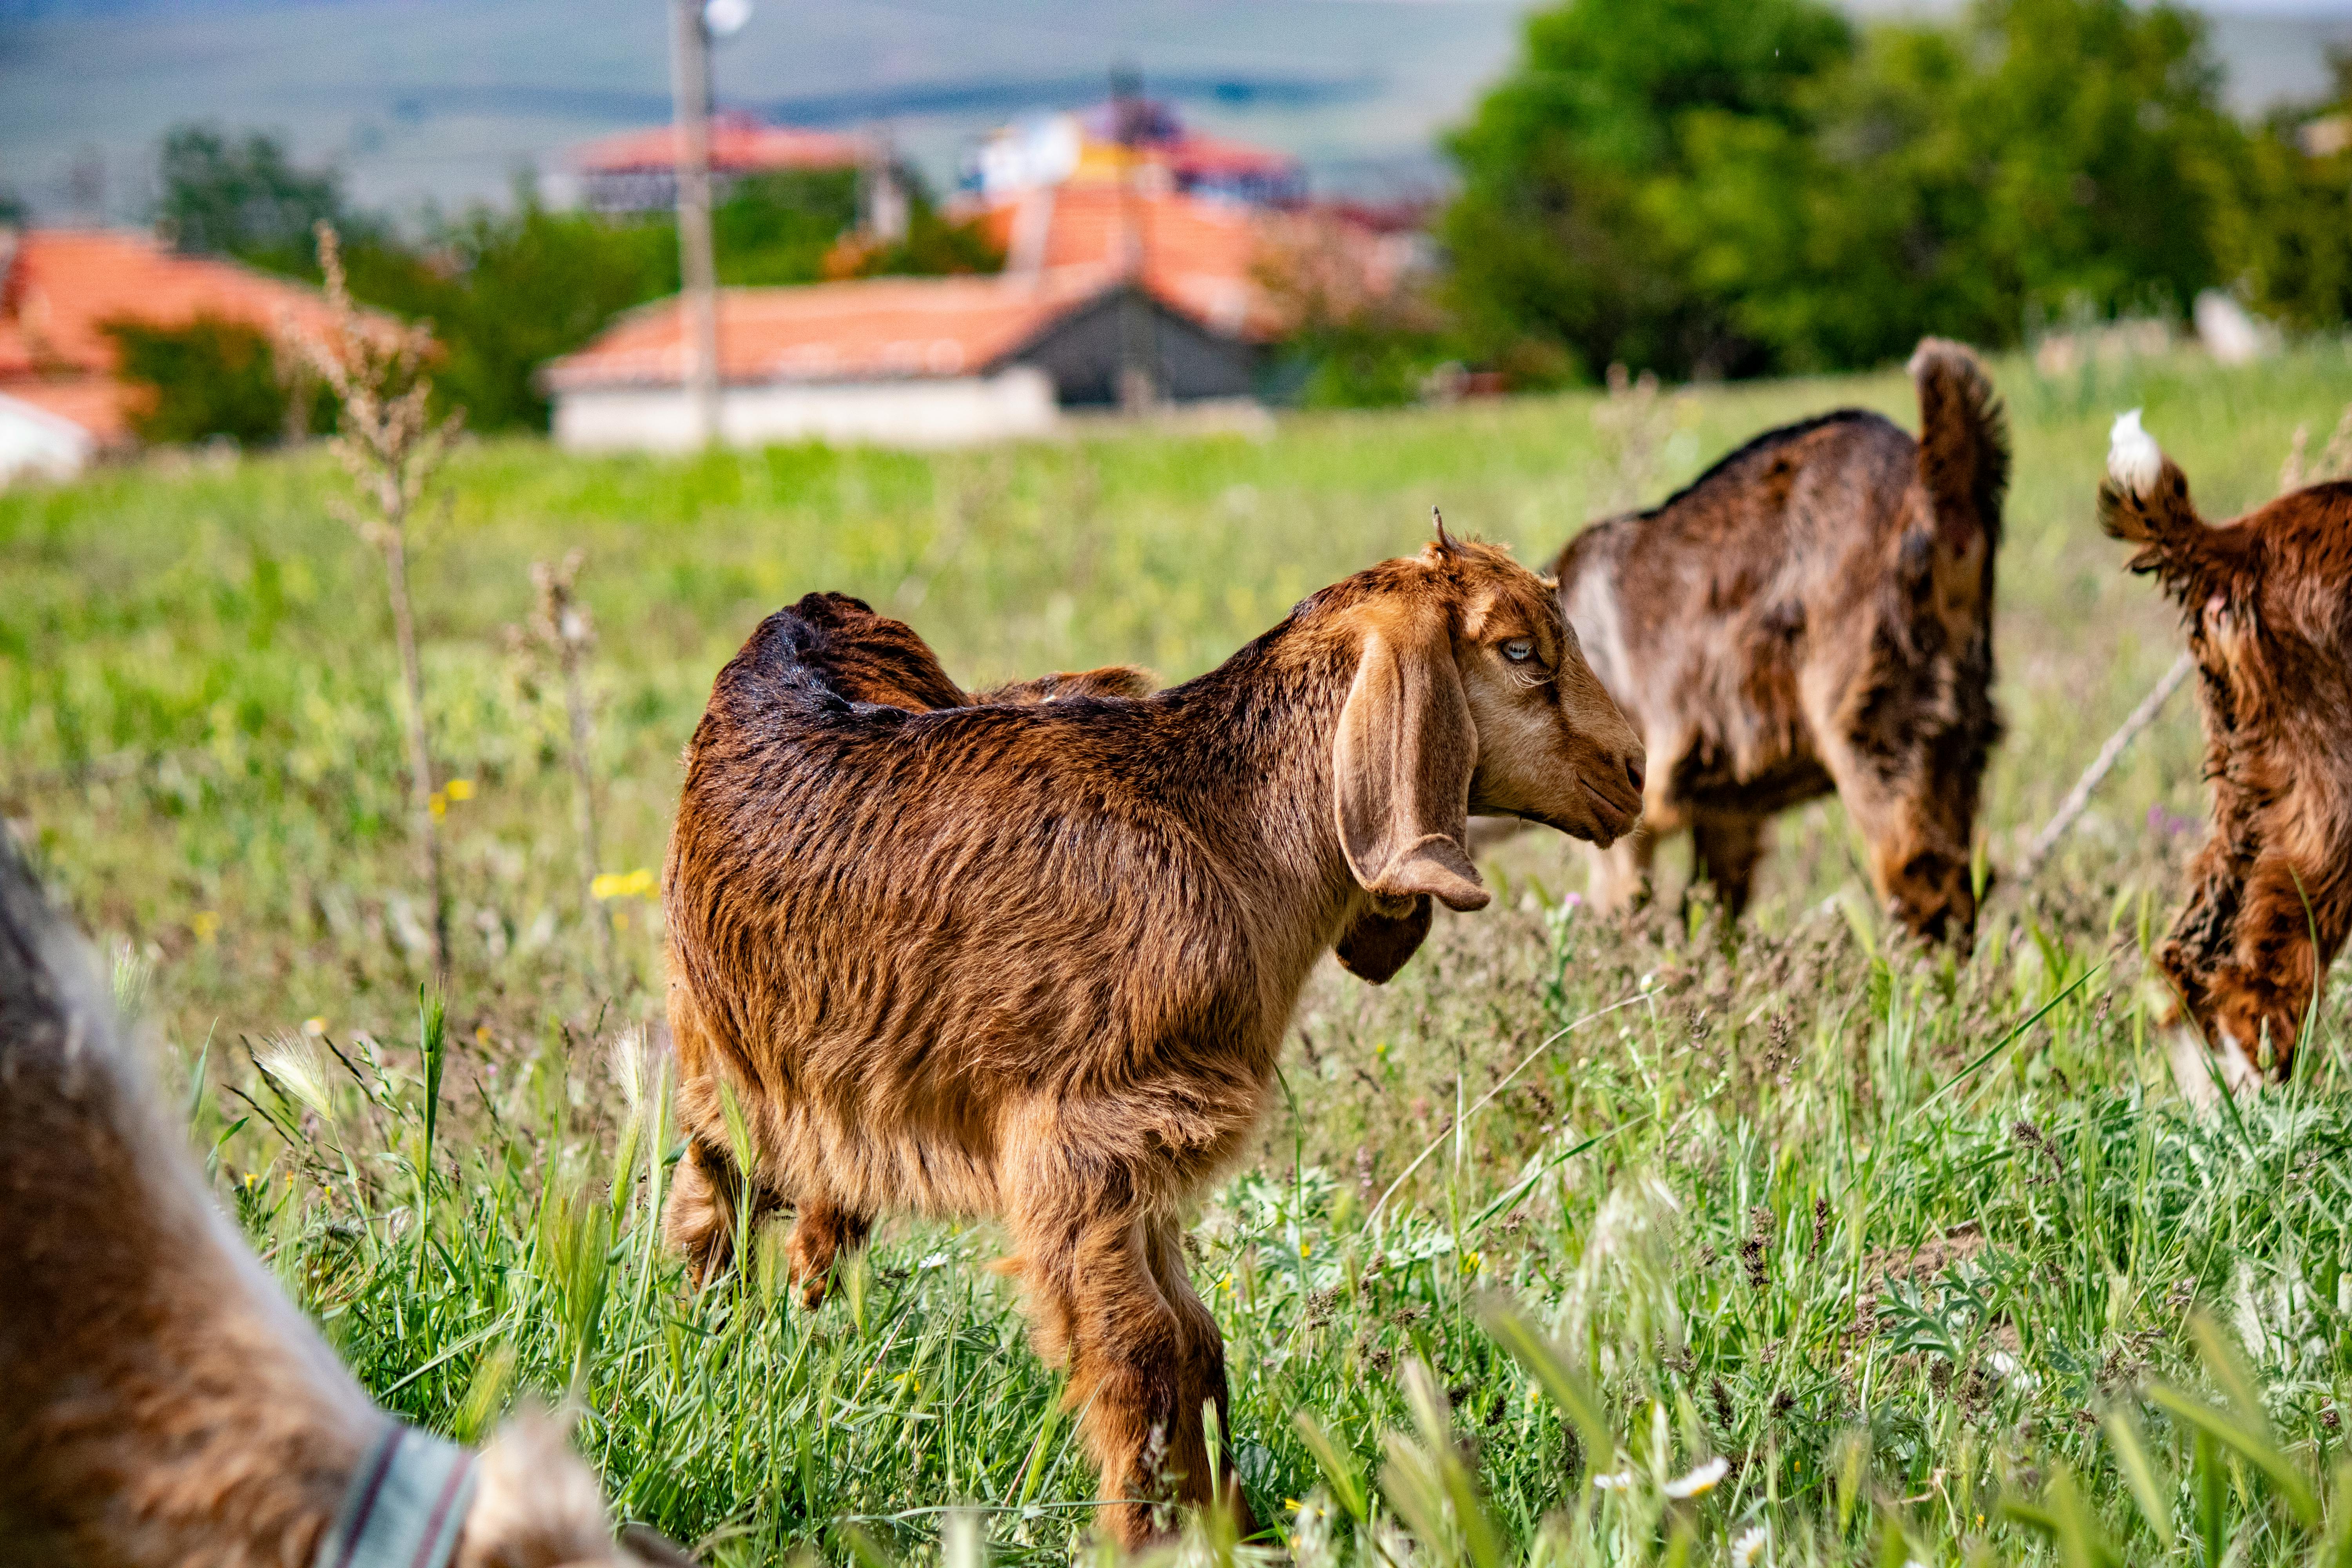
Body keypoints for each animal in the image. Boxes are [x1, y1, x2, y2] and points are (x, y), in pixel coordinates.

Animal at [660, 532, 1645, 1546]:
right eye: (1518, 649)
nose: (1634, 771)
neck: (1225, 832)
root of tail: (812, 607)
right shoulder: (1078, 1144)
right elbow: (1140, 1349)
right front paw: (1150, 1537)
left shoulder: (1151, 1149)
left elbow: (1195, 1340)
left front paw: (1229, 1530)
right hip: (720, 1055)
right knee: (713, 1201)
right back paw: (710, 1347)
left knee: (819, 1204)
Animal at [1538, 339, 2007, 942]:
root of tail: (1935, 491)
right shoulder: (1729, 812)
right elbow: (1714, 909)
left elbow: (1624, 904)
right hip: (1960, 716)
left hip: (1876, 725)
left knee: (1928, 885)